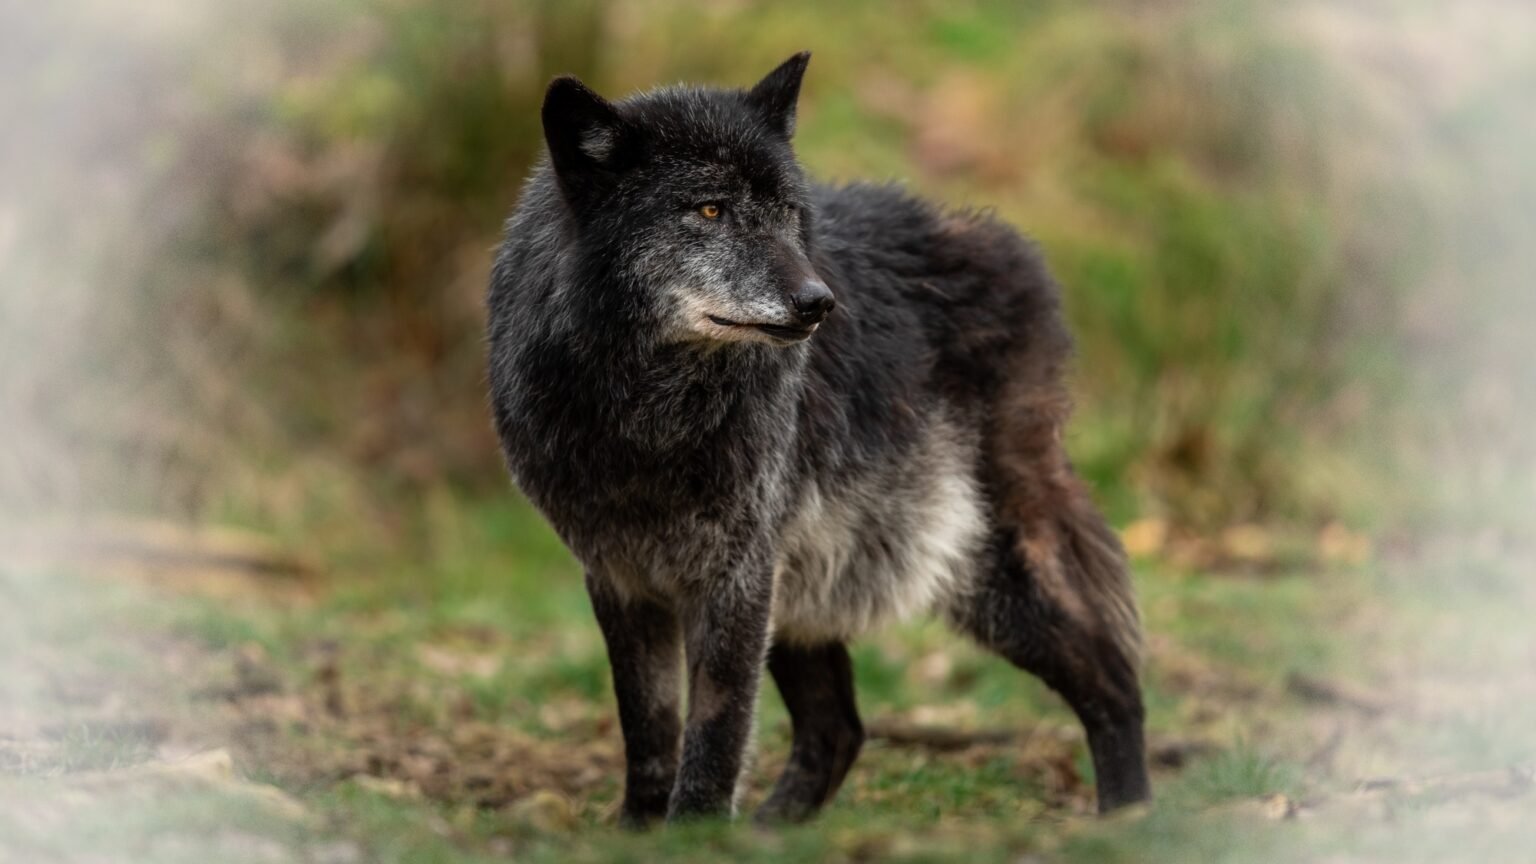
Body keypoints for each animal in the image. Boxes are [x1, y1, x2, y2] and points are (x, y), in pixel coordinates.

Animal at [486, 52, 1150, 826]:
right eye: (710, 209)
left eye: (788, 212)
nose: (819, 303)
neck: (648, 416)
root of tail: (1006, 247)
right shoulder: (620, 579)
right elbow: (648, 726)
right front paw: (642, 831)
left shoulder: (736, 575)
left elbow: (716, 728)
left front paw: (695, 833)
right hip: (807, 589)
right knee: (840, 729)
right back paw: (772, 832)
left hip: (980, 567)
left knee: (1113, 675)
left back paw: (1127, 819)